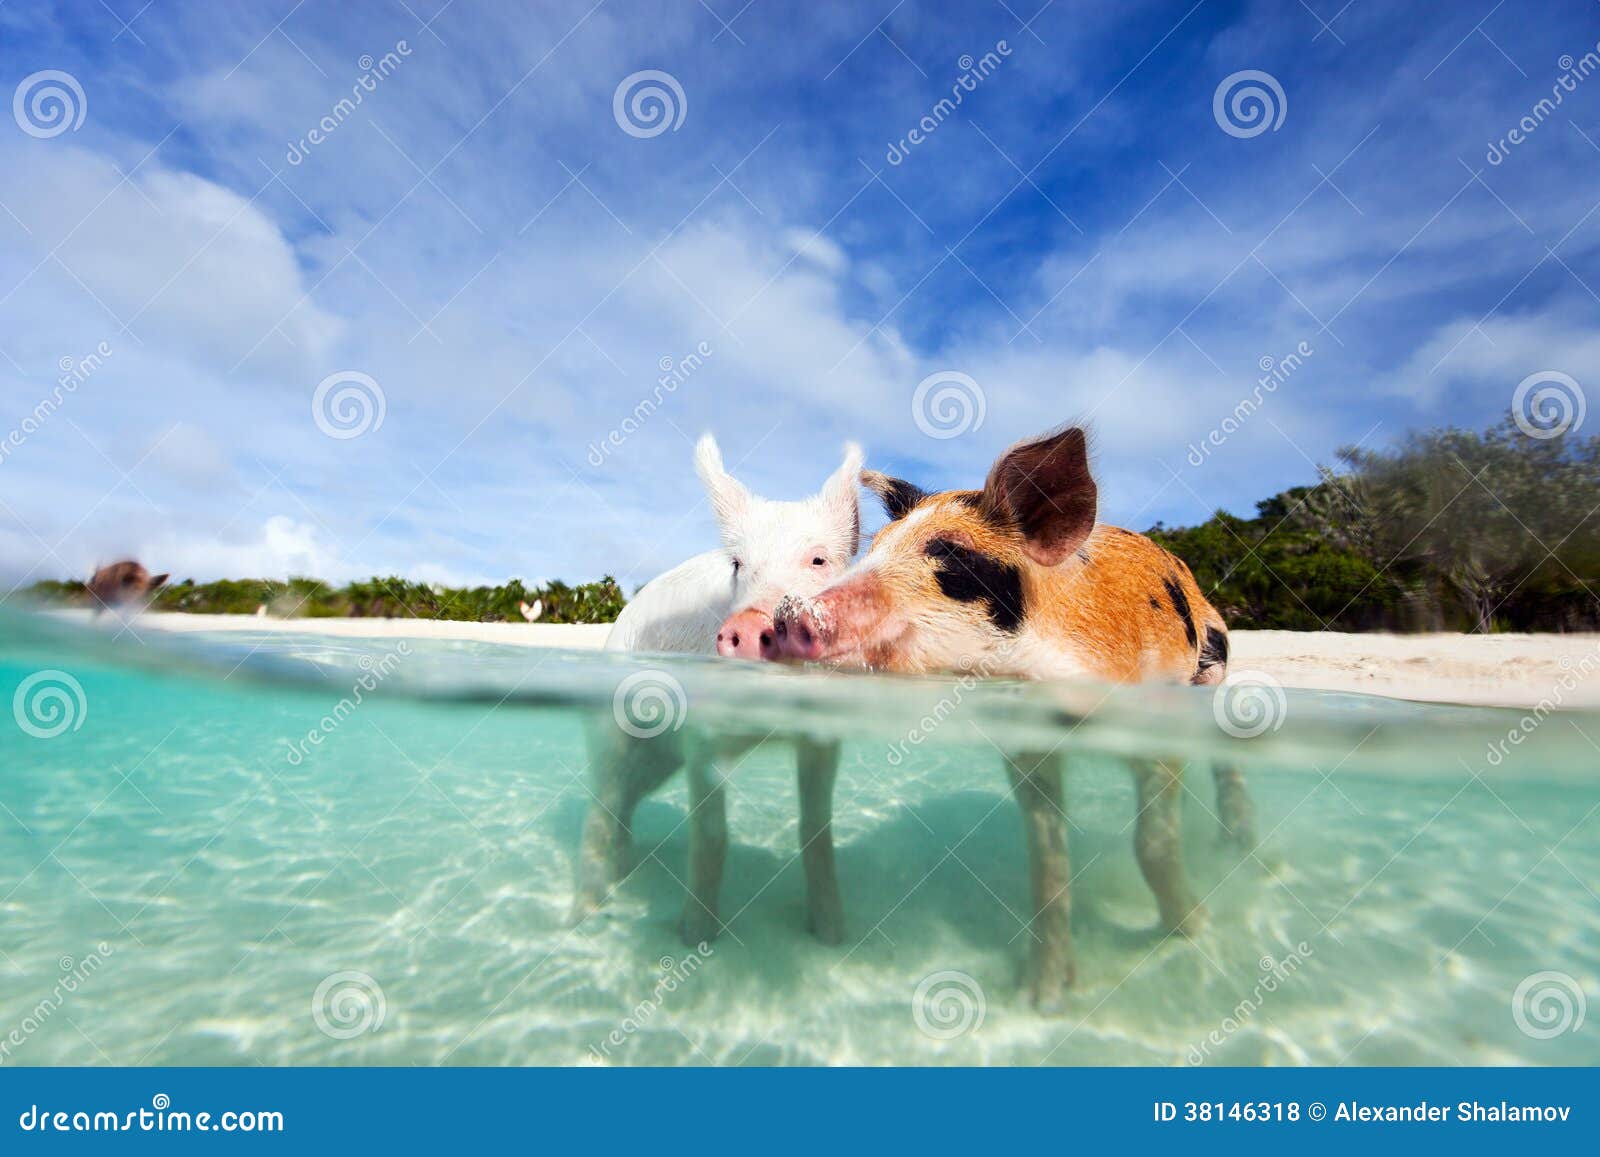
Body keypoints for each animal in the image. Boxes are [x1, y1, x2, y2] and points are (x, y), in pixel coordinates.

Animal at [571, 433, 864, 947]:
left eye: (818, 559)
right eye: (738, 565)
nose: (747, 625)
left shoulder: (823, 737)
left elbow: (815, 830)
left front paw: (833, 935)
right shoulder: (702, 736)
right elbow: (711, 834)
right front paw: (695, 937)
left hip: (658, 760)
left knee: (626, 799)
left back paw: (624, 871)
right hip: (611, 727)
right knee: (601, 805)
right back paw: (581, 919)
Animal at [769, 425, 1255, 1007]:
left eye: (952, 557)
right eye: (876, 546)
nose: (788, 613)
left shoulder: (1152, 725)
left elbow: (1152, 842)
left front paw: (1192, 929)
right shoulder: (1028, 751)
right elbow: (1047, 861)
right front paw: (1043, 997)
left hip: (1212, 668)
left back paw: (1236, 847)